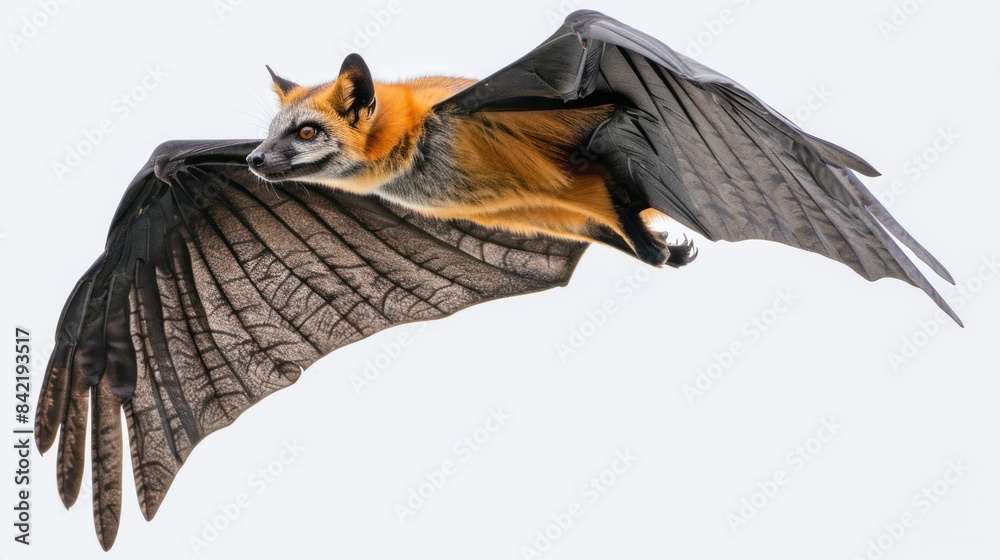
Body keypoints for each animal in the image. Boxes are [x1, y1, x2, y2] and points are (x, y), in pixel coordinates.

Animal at [249, 53, 696, 268]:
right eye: (271, 130)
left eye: (307, 132)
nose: (254, 157)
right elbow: (602, 224)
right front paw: (663, 248)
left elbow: (612, 199)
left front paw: (653, 247)